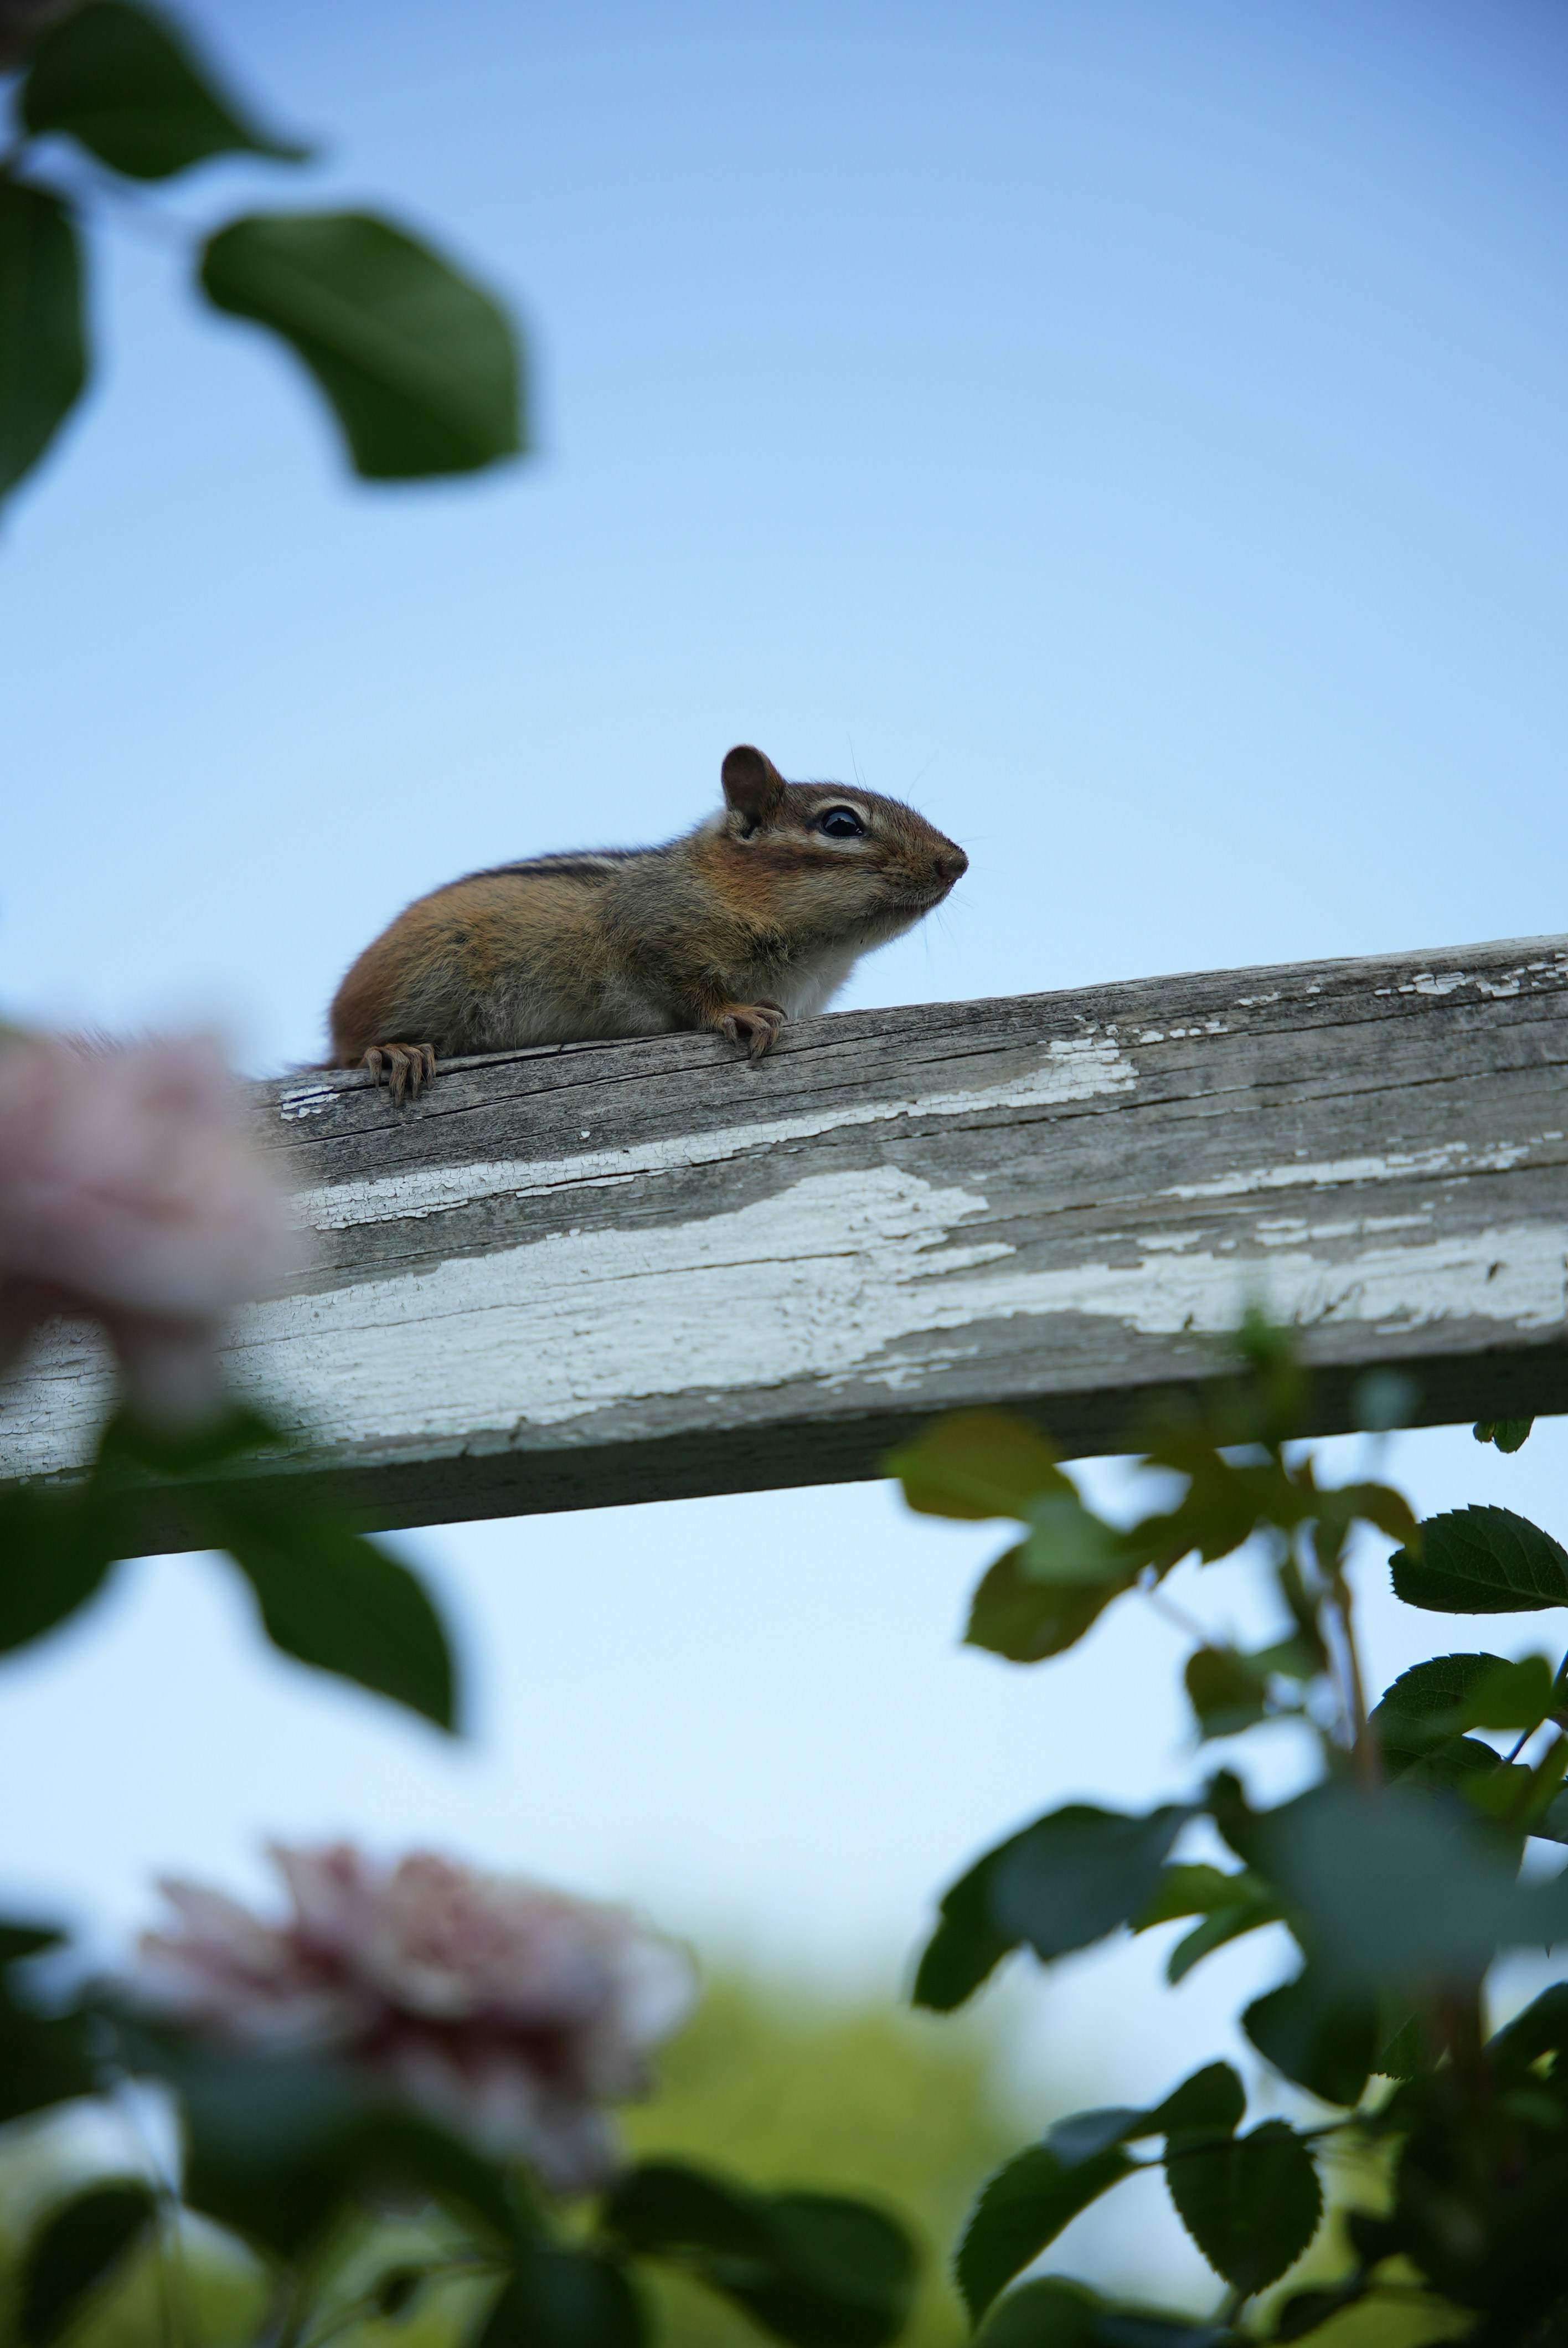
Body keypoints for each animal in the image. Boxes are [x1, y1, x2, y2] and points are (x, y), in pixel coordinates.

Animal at [328, 744, 968, 1103]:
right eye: (840, 824)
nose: (958, 861)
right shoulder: (650, 935)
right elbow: (689, 989)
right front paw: (737, 1012)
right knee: (352, 1052)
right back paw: (395, 1052)